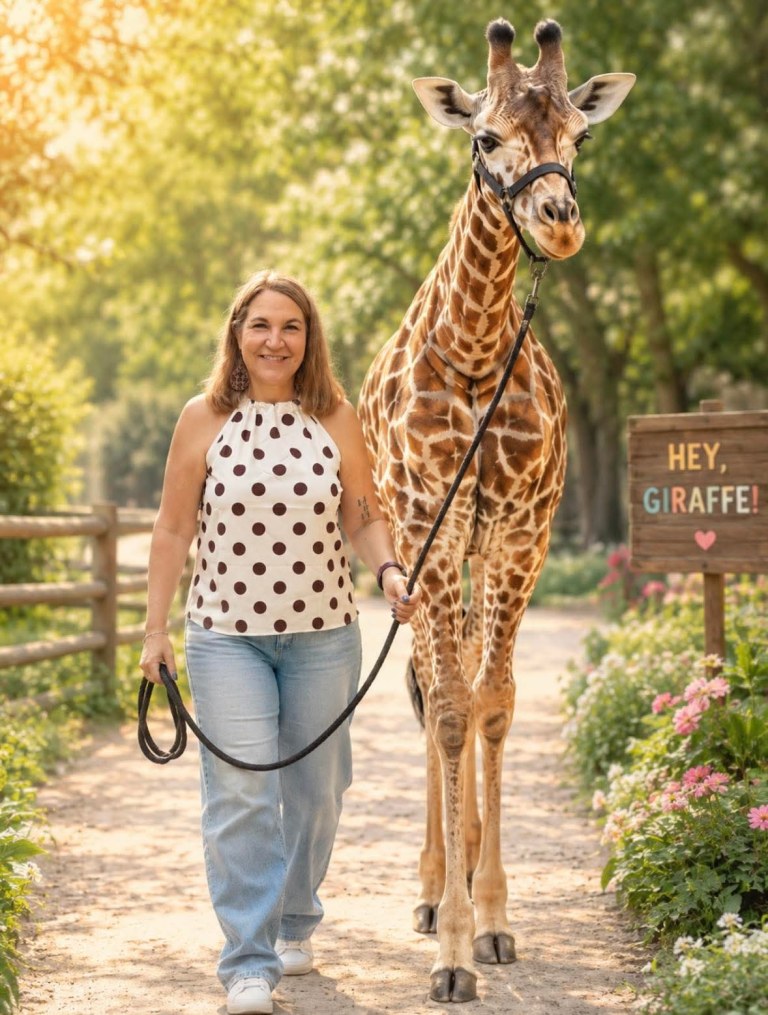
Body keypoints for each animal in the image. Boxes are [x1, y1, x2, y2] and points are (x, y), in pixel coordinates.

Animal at [358, 17, 634, 1004]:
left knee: (473, 678)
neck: (476, 351)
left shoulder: (521, 533)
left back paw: (467, 875)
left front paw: (495, 919)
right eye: (485, 138)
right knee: (428, 683)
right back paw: (432, 887)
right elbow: (444, 708)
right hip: (416, 552)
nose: (561, 221)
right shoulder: (433, 531)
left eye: (579, 136)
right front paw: (449, 950)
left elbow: (496, 705)